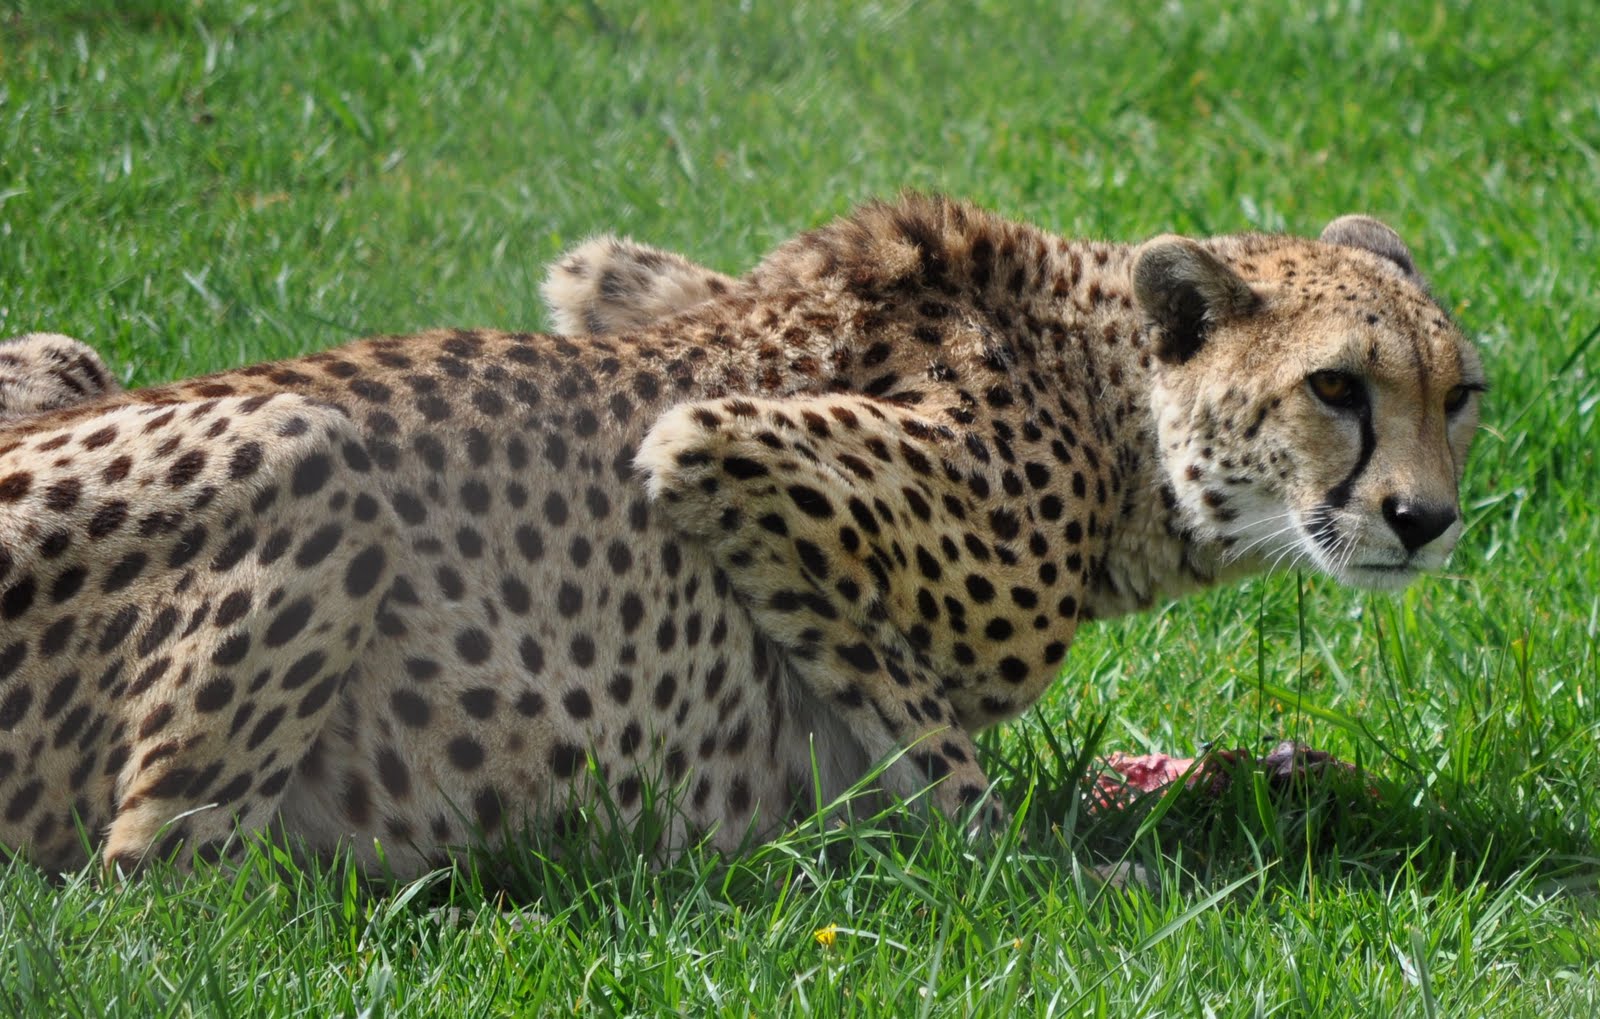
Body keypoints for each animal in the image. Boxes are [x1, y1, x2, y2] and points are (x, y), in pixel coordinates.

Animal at [0, 194, 1484, 877]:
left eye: (1458, 393)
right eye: (1336, 388)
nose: (1424, 519)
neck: (1113, 404)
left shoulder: (614, 281)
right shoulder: (721, 446)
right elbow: (941, 758)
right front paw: (1057, 872)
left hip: (59, 356)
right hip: (309, 447)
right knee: (150, 892)